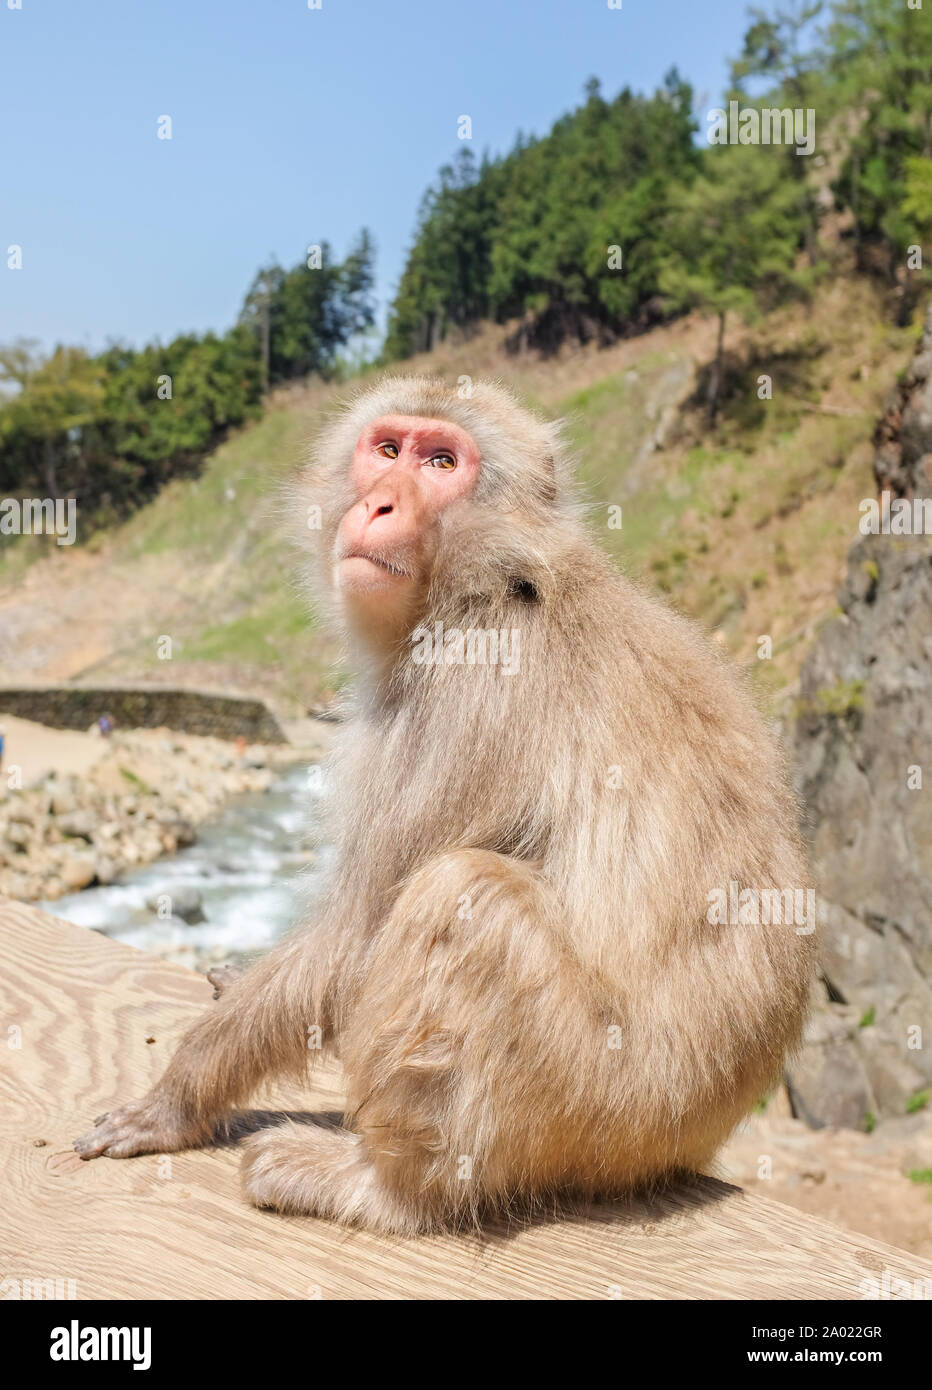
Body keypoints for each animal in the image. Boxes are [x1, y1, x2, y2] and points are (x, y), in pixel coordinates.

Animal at [75, 375, 815, 1235]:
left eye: (440, 463)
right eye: (388, 450)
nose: (381, 503)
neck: (487, 586)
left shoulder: (469, 698)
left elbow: (361, 932)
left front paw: (176, 1099)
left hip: (607, 1108)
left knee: (464, 897)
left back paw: (387, 1185)